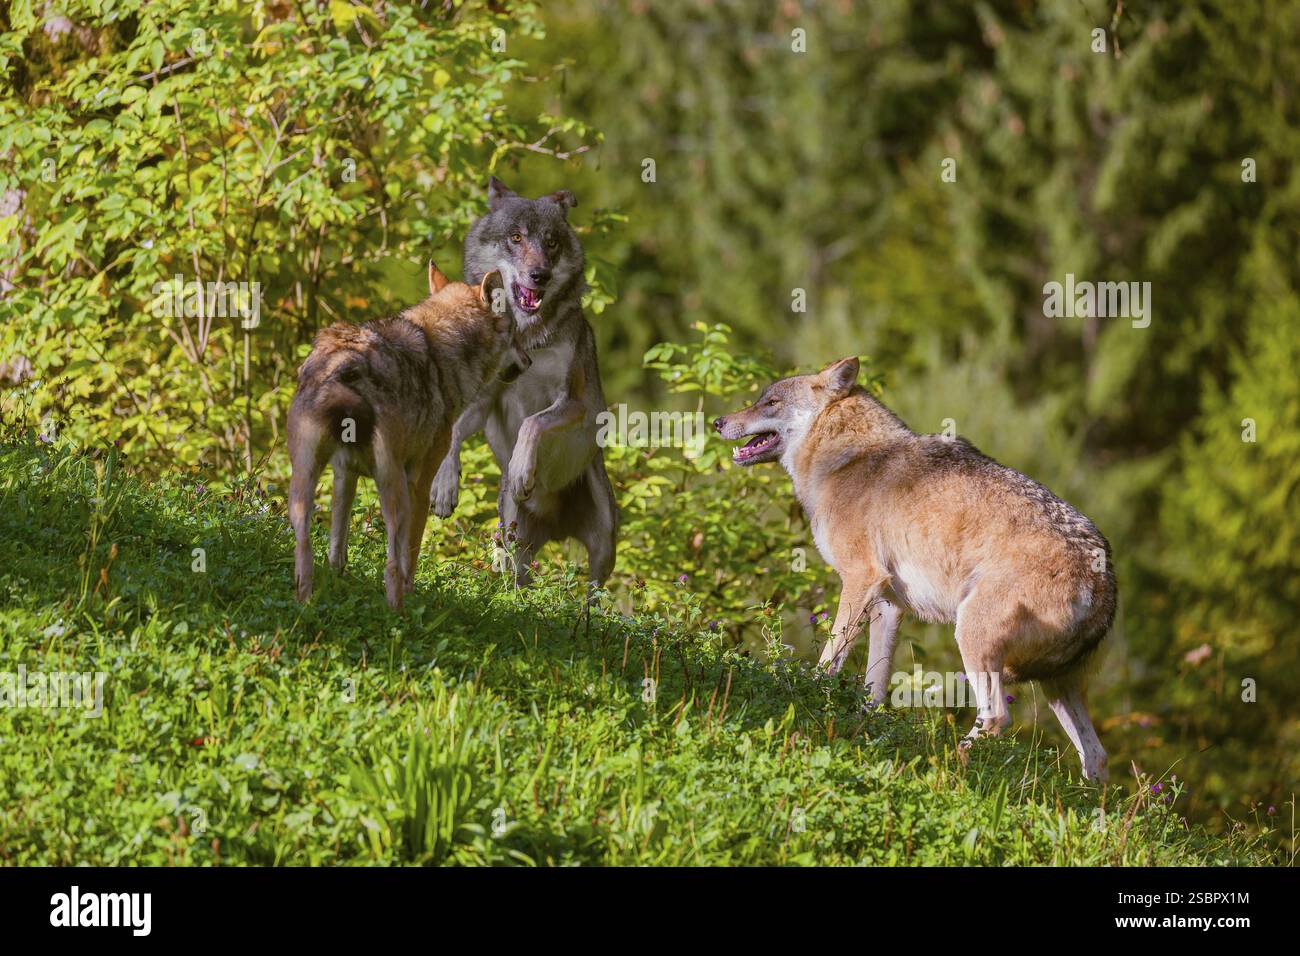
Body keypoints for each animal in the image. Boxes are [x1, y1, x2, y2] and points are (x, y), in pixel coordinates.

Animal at [287, 263, 528, 610]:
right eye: (516, 334)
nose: (530, 361)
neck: (442, 352)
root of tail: (347, 362)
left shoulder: (344, 473)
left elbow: (336, 548)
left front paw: (338, 579)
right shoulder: (421, 484)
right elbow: (409, 555)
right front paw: (413, 593)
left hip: (302, 486)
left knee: (304, 549)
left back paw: (304, 605)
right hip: (394, 488)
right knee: (390, 565)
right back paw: (399, 611)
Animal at [429, 177, 618, 585]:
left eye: (551, 242)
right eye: (516, 237)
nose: (540, 275)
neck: (527, 337)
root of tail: (555, 528)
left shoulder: (577, 403)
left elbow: (532, 423)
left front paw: (520, 470)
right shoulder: (485, 400)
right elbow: (454, 430)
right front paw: (445, 485)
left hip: (605, 539)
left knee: (594, 587)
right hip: (513, 530)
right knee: (514, 571)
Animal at [715, 357, 1116, 781]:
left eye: (770, 402)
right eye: (760, 399)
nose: (718, 422)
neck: (846, 459)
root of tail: (1102, 574)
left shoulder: (861, 578)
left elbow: (828, 659)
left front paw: (803, 692)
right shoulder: (888, 606)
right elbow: (873, 689)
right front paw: (868, 733)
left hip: (971, 635)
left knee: (996, 717)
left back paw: (948, 763)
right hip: (1056, 687)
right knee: (1096, 755)